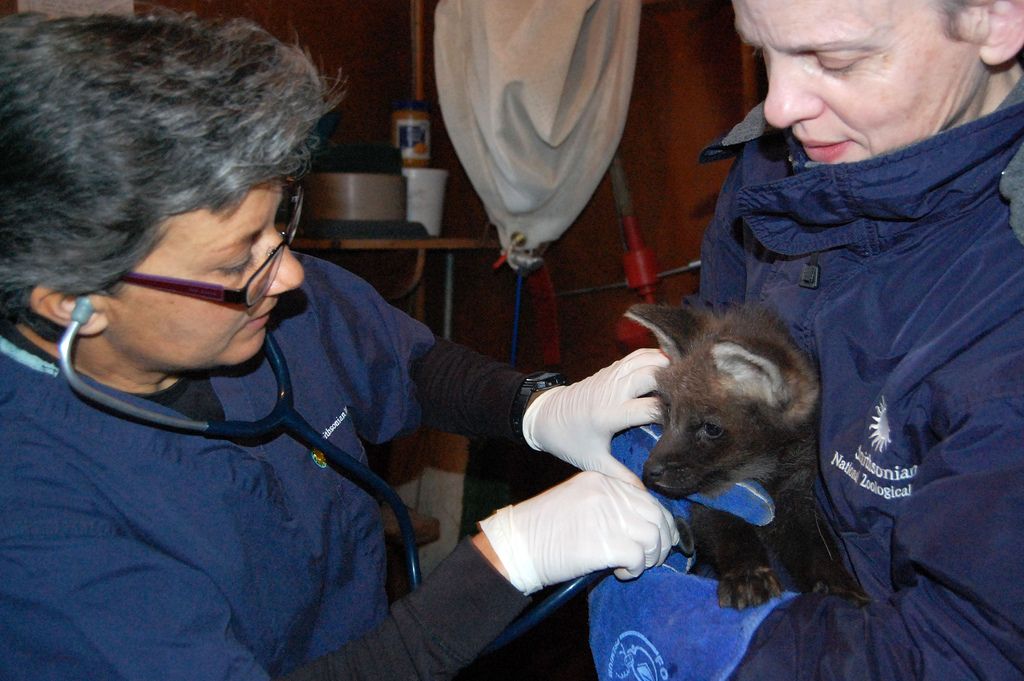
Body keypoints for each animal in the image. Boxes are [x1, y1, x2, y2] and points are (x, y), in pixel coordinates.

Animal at [625, 303, 869, 609]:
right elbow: (731, 531)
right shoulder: (714, 501)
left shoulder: (798, 494)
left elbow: (816, 547)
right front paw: (748, 574)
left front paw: (839, 585)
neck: (764, 477)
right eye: (669, 411)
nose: (649, 472)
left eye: (711, 428)